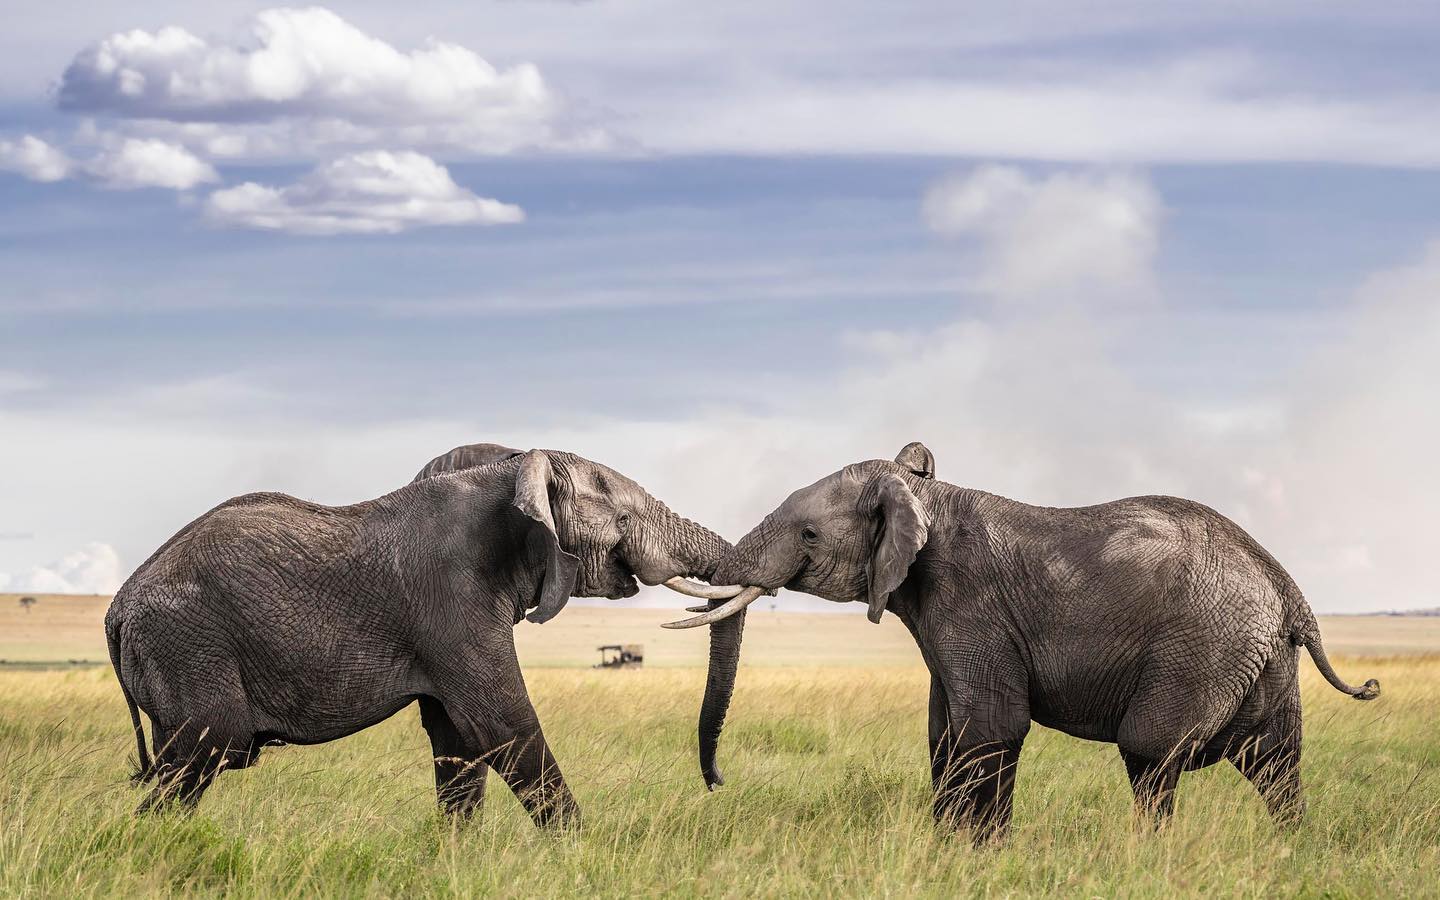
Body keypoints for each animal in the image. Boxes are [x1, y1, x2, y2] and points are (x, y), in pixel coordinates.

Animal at [105, 448, 740, 824]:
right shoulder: (455, 603)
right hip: (185, 646)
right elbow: (503, 725)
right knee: (205, 751)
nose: (716, 783)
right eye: (626, 520)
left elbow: (457, 738)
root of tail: (115, 611)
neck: (511, 473)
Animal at [666, 442, 1380, 841]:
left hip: (1205, 645)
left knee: (1150, 752)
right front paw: (951, 851)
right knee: (1274, 759)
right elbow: (945, 735)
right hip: (1260, 654)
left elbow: (988, 729)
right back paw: (1291, 851)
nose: (719, 782)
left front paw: (980, 855)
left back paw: (1149, 858)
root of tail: (1288, 588)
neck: (926, 494)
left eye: (809, 535)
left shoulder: (971, 603)